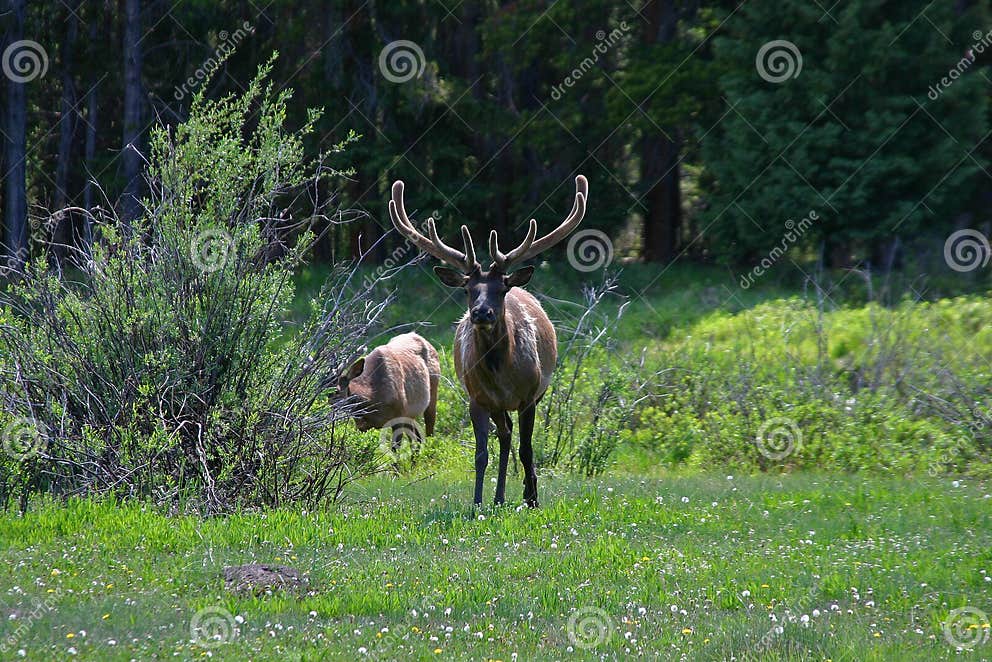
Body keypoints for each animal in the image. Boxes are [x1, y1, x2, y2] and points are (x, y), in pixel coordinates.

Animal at [388, 174, 588, 507]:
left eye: (501, 288)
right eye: (468, 289)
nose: (482, 312)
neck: (501, 373)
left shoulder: (529, 396)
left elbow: (527, 449)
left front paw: (532, 498)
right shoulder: (477, 398)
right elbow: (481, 454)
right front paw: (477, 502)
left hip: (536, 393)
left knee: (515, 439)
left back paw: (521, 492)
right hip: (495, 405)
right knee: (505, 434)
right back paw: (498, 497)